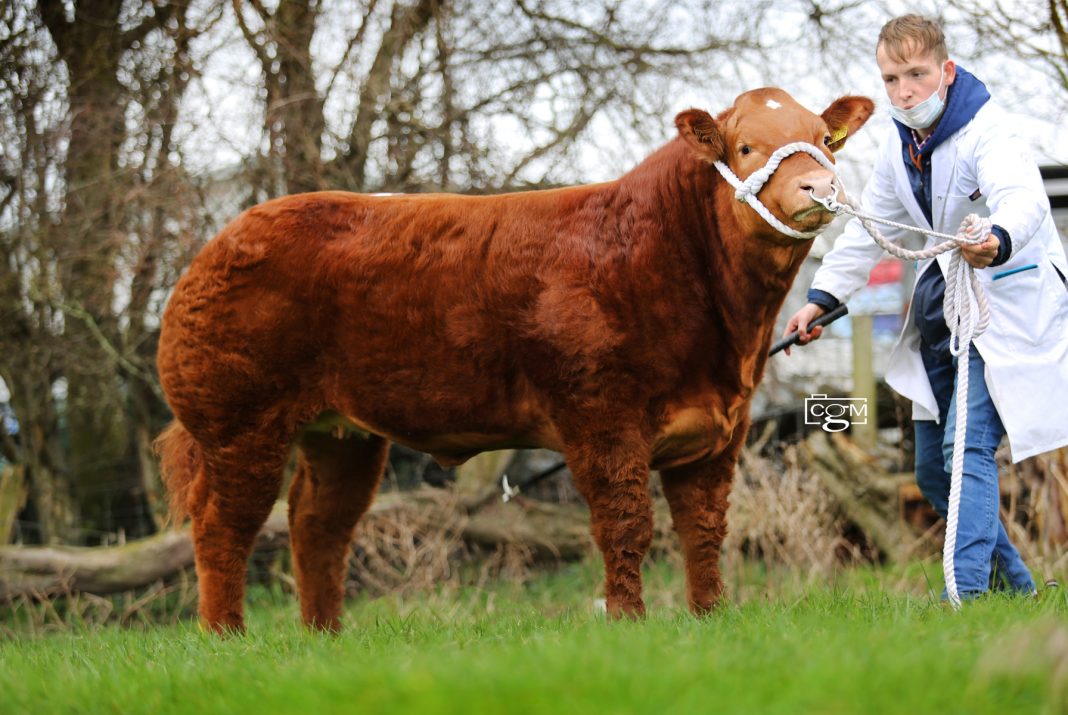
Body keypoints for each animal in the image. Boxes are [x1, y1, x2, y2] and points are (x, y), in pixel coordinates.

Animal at [155, 87, 874, 633]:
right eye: (746, 146)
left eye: (824, 138)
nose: (819, 185)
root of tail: (227, 235)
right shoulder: (603, 417)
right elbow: (626, 523)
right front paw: (628, 621)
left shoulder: (719, 428)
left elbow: (702, 529)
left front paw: (709, 616)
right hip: (238, 421)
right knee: (224, 523)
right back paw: (227, 636)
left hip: (341, 434)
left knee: (317, 523)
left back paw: (323, 636)